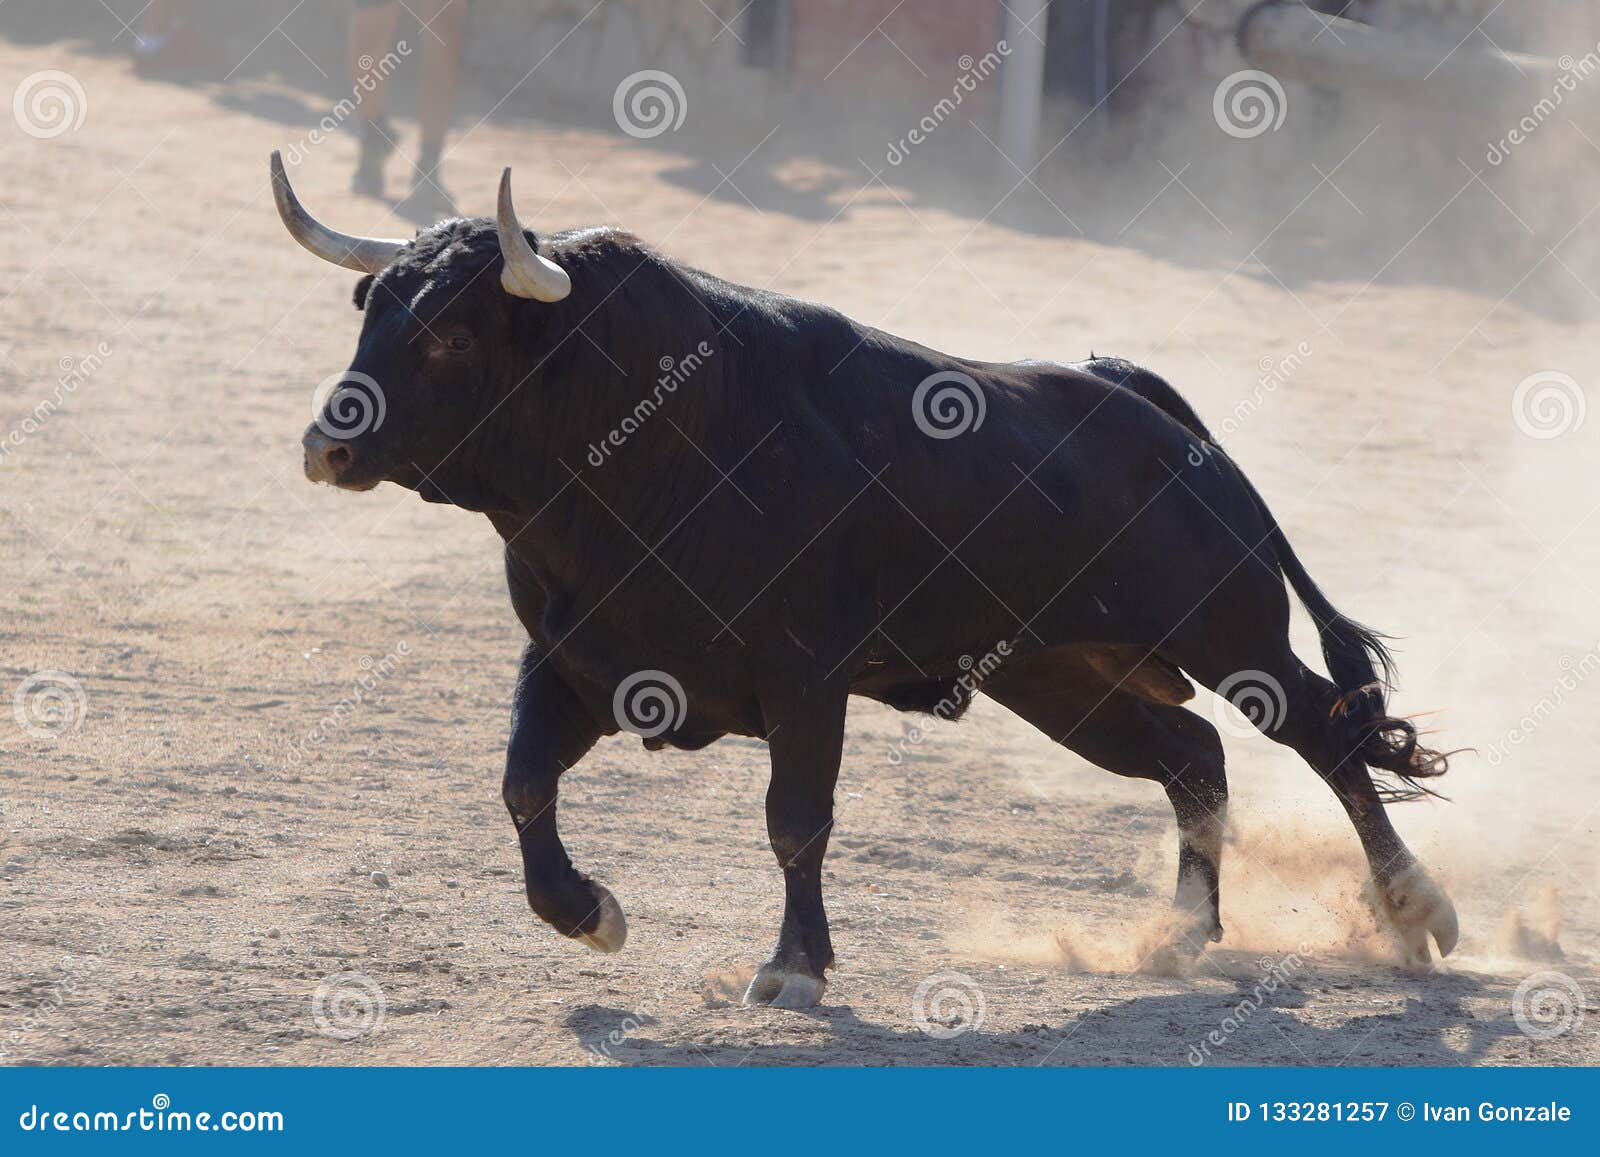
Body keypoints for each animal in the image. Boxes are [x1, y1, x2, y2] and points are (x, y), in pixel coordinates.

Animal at [270, 151, 1457, 1008]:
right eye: (372, 309)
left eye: (451, 335)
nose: (325, 446)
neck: (651, 449)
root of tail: (1150, 412)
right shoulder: (574, 657)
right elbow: (522, 782)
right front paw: (588, 911)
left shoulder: (806, 679)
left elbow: (795, 815)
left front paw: (794, 965)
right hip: (1059, 677)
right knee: (1193, 754)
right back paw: (1179, 934)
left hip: (1232, 635)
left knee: (1326, 738)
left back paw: (1417, 911)